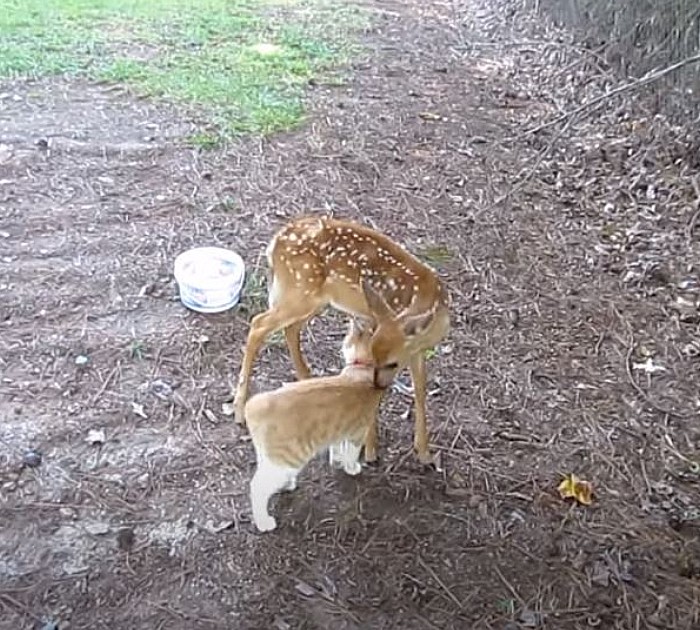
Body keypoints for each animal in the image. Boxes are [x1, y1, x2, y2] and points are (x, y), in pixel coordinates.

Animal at [232, 215, 450, 464]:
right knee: (258, 324)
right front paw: (371, 448)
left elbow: (421, 390)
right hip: (299, 290)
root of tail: (275, 242)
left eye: (392, 363)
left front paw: (424, 452)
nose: (378, 385)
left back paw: (306, 378)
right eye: (375, 358)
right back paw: (239, 408)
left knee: (290, 328)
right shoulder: (374, 326)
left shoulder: (416, 350)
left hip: (311, 298)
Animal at [245, 316, 401, 532]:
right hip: (284, 461)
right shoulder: (358, 433)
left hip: (268, 458)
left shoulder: (339, 430)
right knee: (257, 488)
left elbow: (336, 448)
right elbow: (351, 453)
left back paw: (288, 484)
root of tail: (255, 404)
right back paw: (264, 522)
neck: (361, 369)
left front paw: (336, 460)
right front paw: (351, 467)